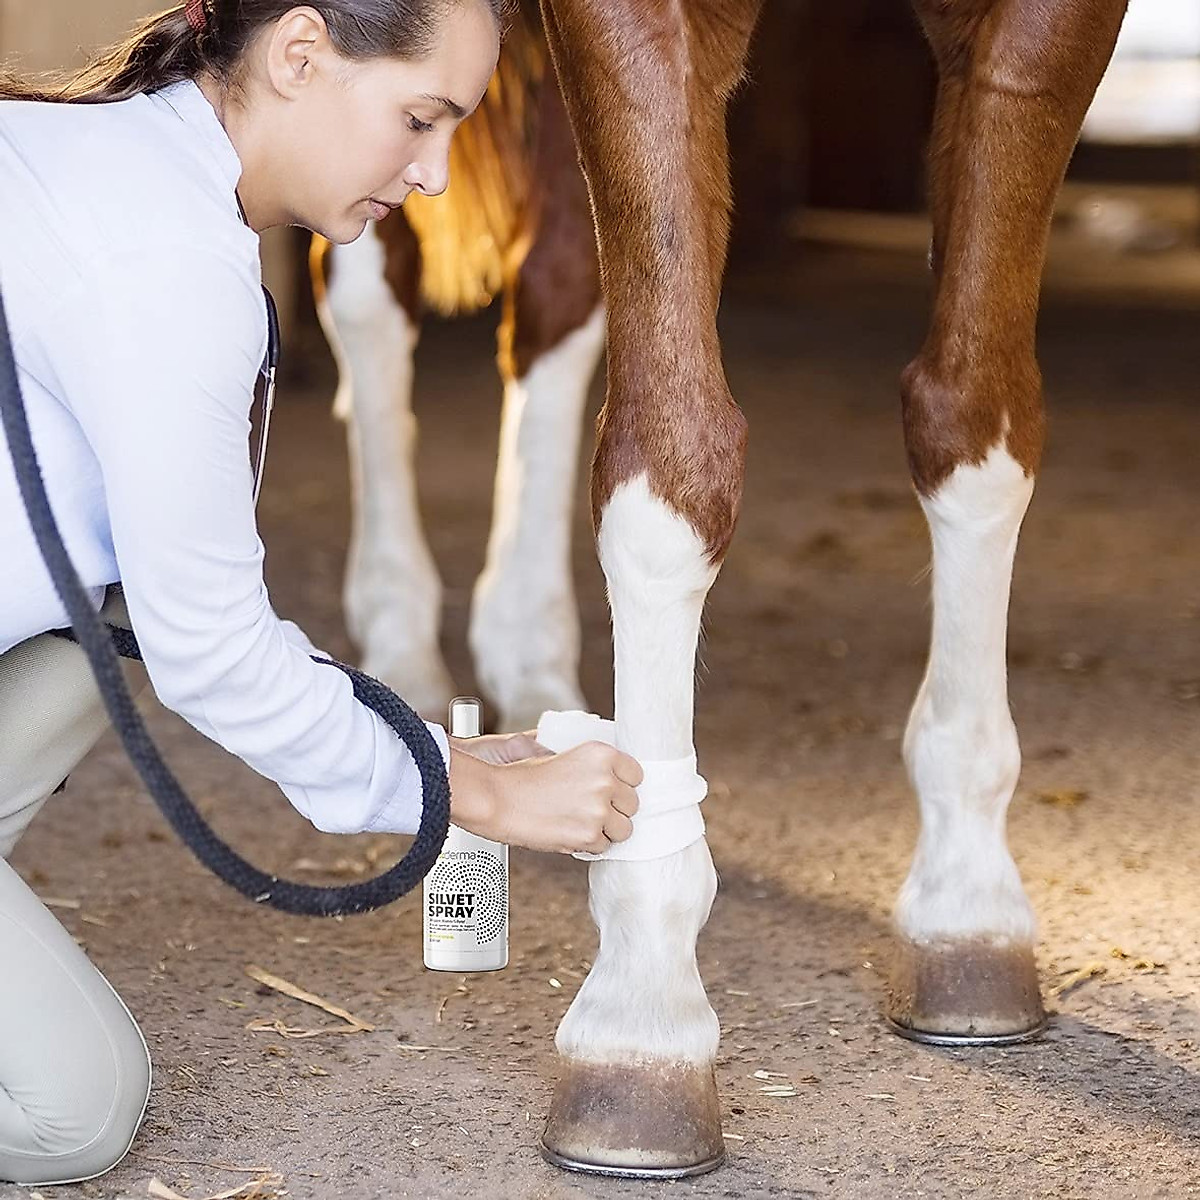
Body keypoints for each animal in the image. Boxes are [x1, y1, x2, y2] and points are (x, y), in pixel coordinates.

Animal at [314, 0, 1132, 1178]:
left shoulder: (1048, 28)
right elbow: (672, 462)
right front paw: (642, 1017)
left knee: (556, 289)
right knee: (366, 289)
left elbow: (974, 419)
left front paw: (968, 908)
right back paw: (401, 639)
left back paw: (530, 656)